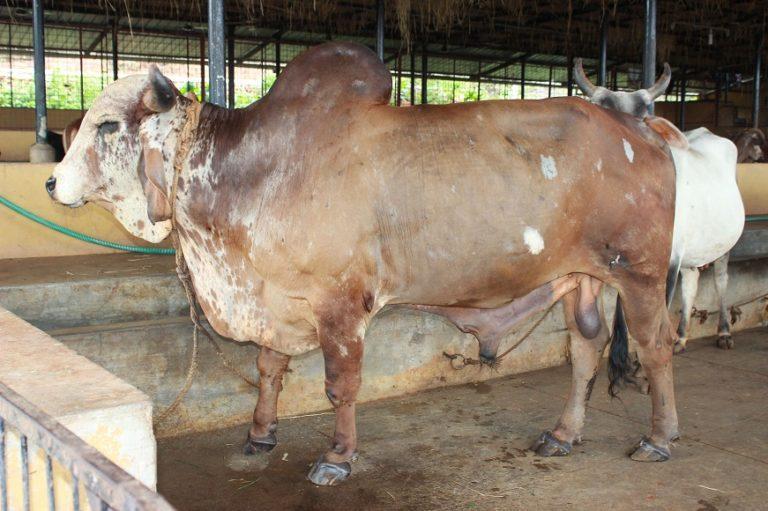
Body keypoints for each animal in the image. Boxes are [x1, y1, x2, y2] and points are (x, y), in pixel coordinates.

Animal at [48, 42, 680, 485]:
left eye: (108, 124)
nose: (53, 183)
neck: (247, 169)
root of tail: (642, 129)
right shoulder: (277, 300)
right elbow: (269, 369)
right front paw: (259, 435)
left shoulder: (341, 307)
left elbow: (340, 385)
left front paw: (337, 456)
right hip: (583, 278)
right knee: (585, 348)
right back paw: (563, 433)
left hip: (640, 274)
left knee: (656, 348)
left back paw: (659, 439)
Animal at [574, 59, 745, 352]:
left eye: (641, 121)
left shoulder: (666, 260)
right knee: (692, 281)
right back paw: (682, 336)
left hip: (722, 244)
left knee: (721, 280)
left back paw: (723, 331)